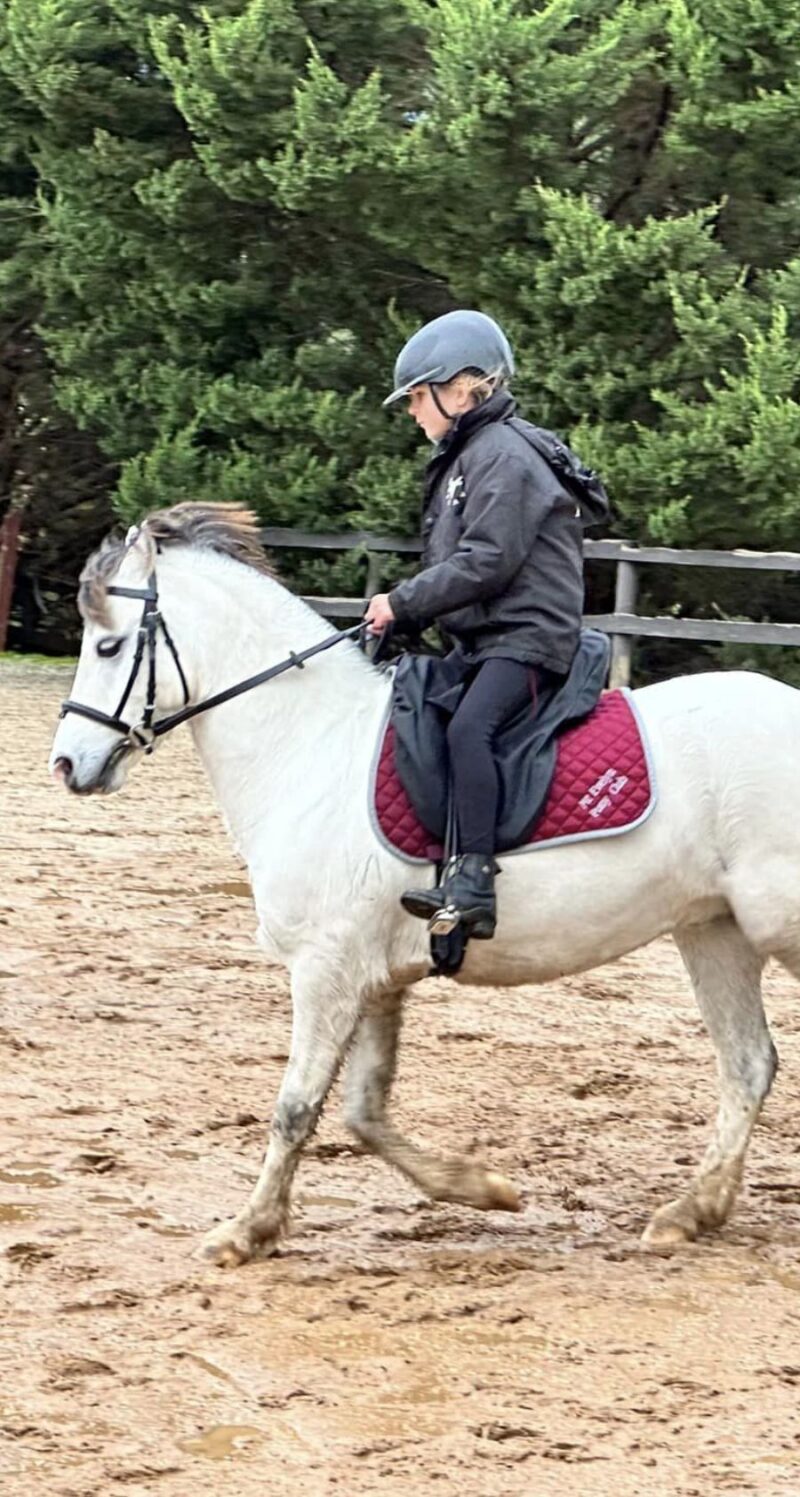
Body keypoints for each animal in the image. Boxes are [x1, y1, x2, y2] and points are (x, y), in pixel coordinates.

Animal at [49, 503, 795, 1268]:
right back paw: (691, 1211)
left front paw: (245, 1230)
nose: (68, 764)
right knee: (748, 1063)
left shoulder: (325, 969)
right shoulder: (374, 976)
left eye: (108, 646)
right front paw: (484, 1187)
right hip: (714, 931)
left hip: (773, 922)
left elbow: (296, 1105)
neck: (307, 747)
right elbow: (363, 1111)